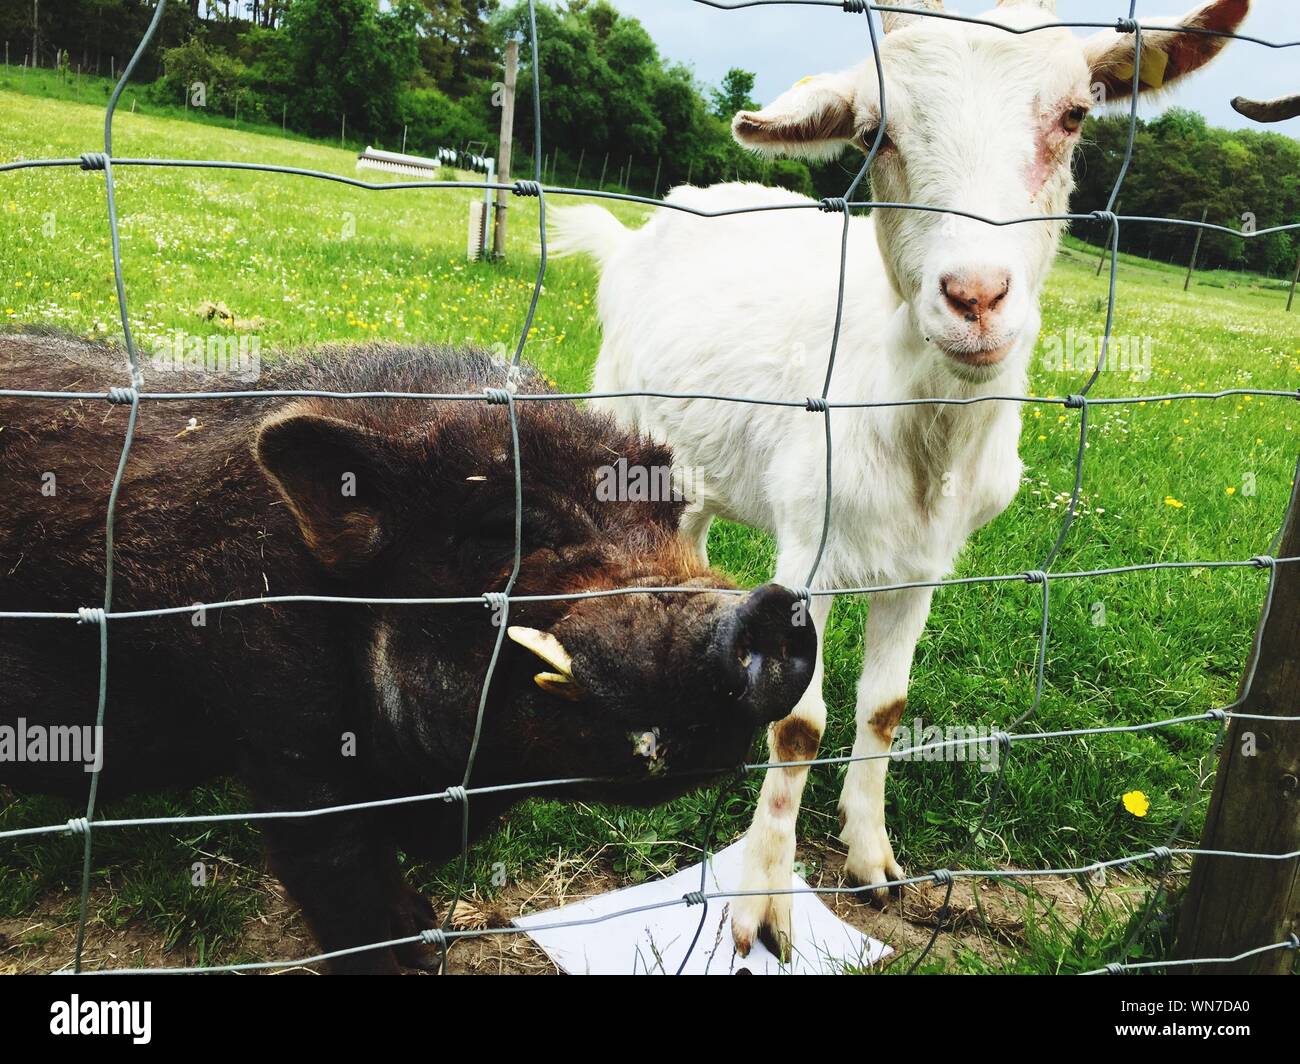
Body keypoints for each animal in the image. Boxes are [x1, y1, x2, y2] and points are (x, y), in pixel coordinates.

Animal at [551, 0, 1250, 958]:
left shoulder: (927, 562)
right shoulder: (809, 545)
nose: (976, 296)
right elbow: (798, 724)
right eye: (876, 133)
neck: (921, 431)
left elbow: (886, 706)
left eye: (1075, 115)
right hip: (619, 417)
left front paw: (872, 859)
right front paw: (762, 912)